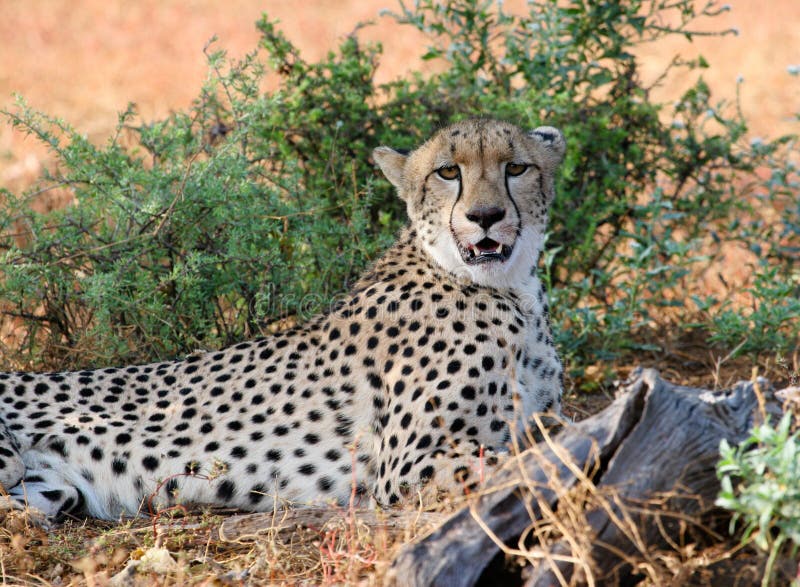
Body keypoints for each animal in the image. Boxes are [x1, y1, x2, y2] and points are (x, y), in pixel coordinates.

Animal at [0, 118, 566, 522]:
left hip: (51, 488)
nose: (486, 216)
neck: (509, 288)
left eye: (516, 168)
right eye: (448, 172)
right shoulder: (411, 466)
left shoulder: (538, 421)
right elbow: (527, 465)